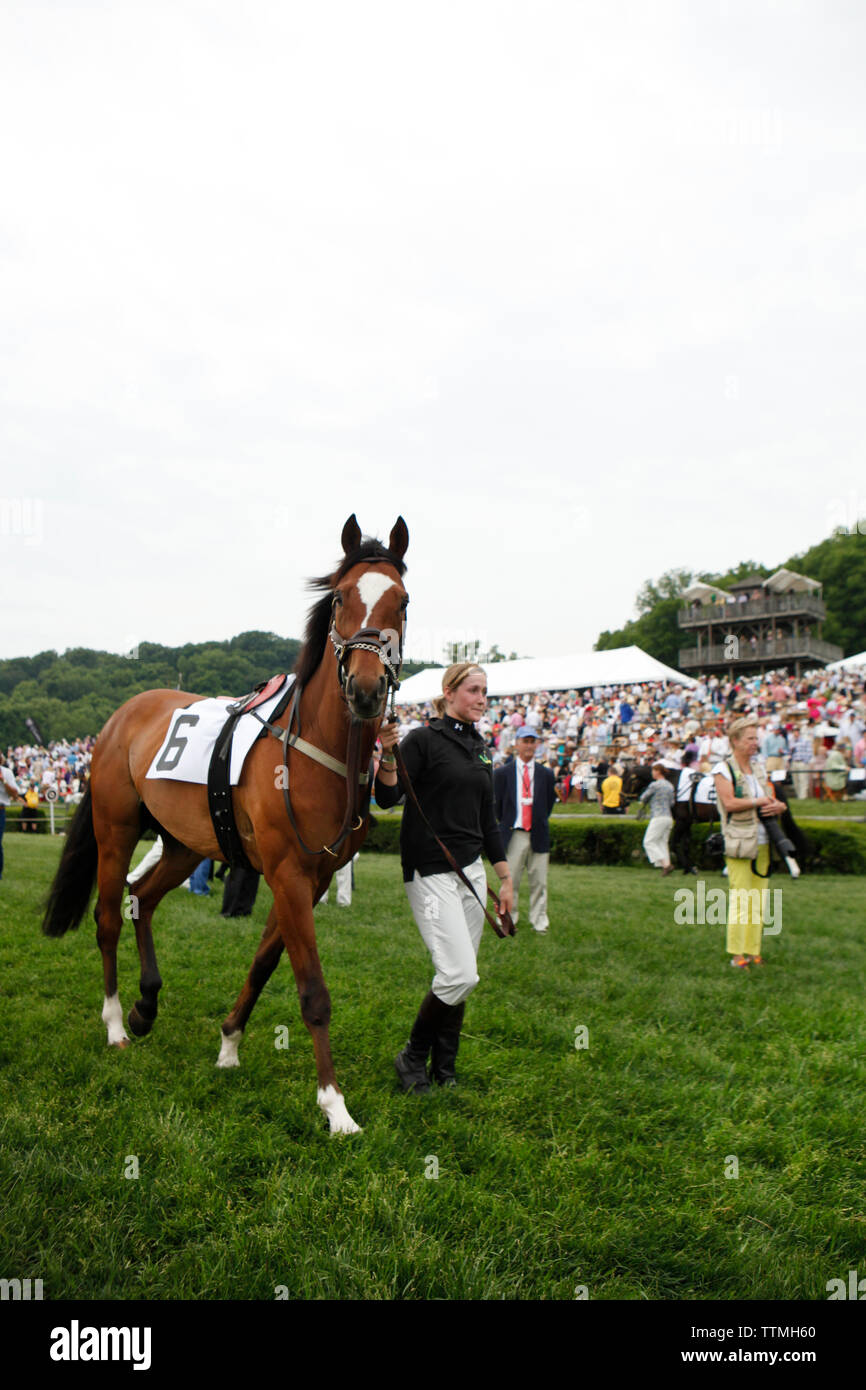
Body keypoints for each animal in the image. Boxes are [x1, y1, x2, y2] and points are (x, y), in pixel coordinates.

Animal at [41, 515, 409, 1135]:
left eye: (402, 601)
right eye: (340, 598)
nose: (364, 690)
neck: (314, 750)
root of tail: (121, 716)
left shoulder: (309, 879)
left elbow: (263, 964)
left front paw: (230, 1044)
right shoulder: (286, 872)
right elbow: (313, 990)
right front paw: (335, 1106)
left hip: (185, 844)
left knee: (144, 896)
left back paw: (146, 1005)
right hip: (116, 830)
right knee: (109, 915)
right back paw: (116, 1023)